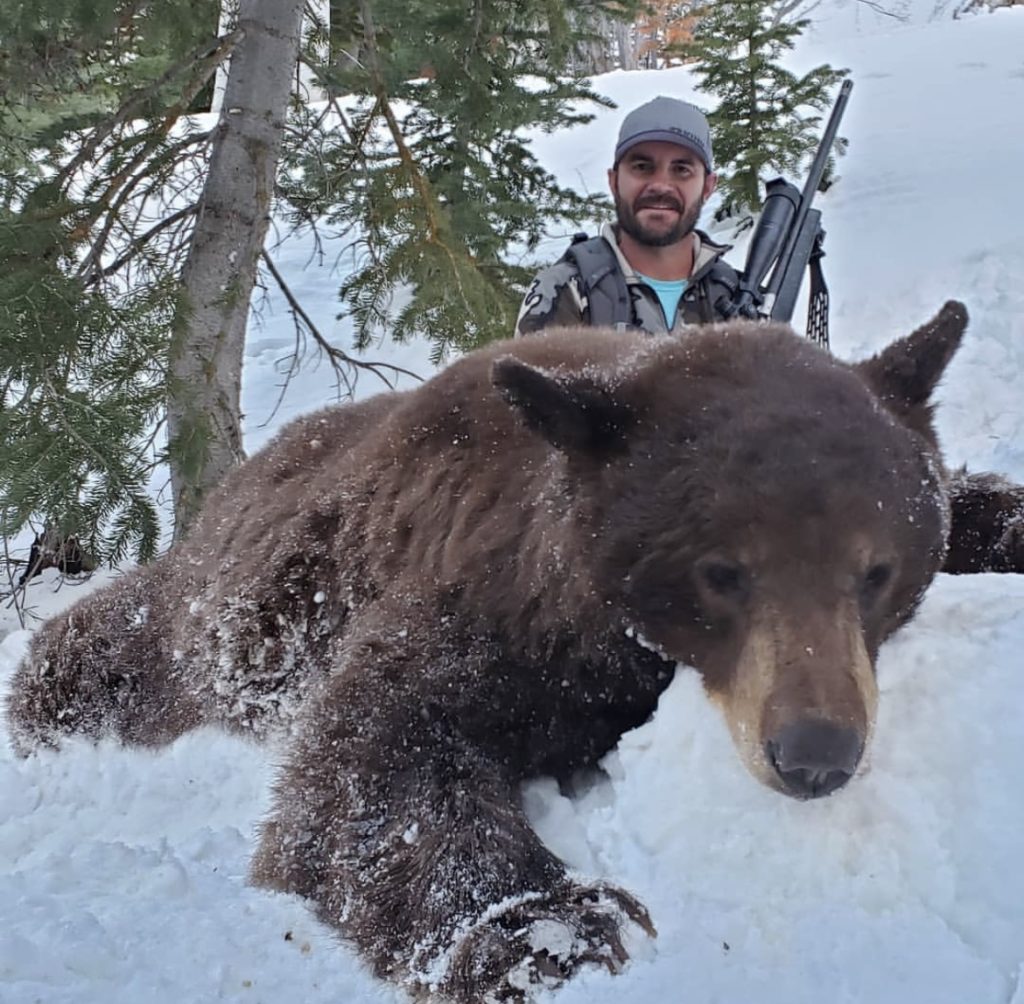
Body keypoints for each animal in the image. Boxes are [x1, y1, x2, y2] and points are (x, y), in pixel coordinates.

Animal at [2, 300, 998, 1002]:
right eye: (722, 571)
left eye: (875, 570)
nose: (816, 754)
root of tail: (231, 486)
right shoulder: (491, 606)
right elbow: (370, 756)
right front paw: (556, 927)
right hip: (193, 625)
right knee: (90, 657)